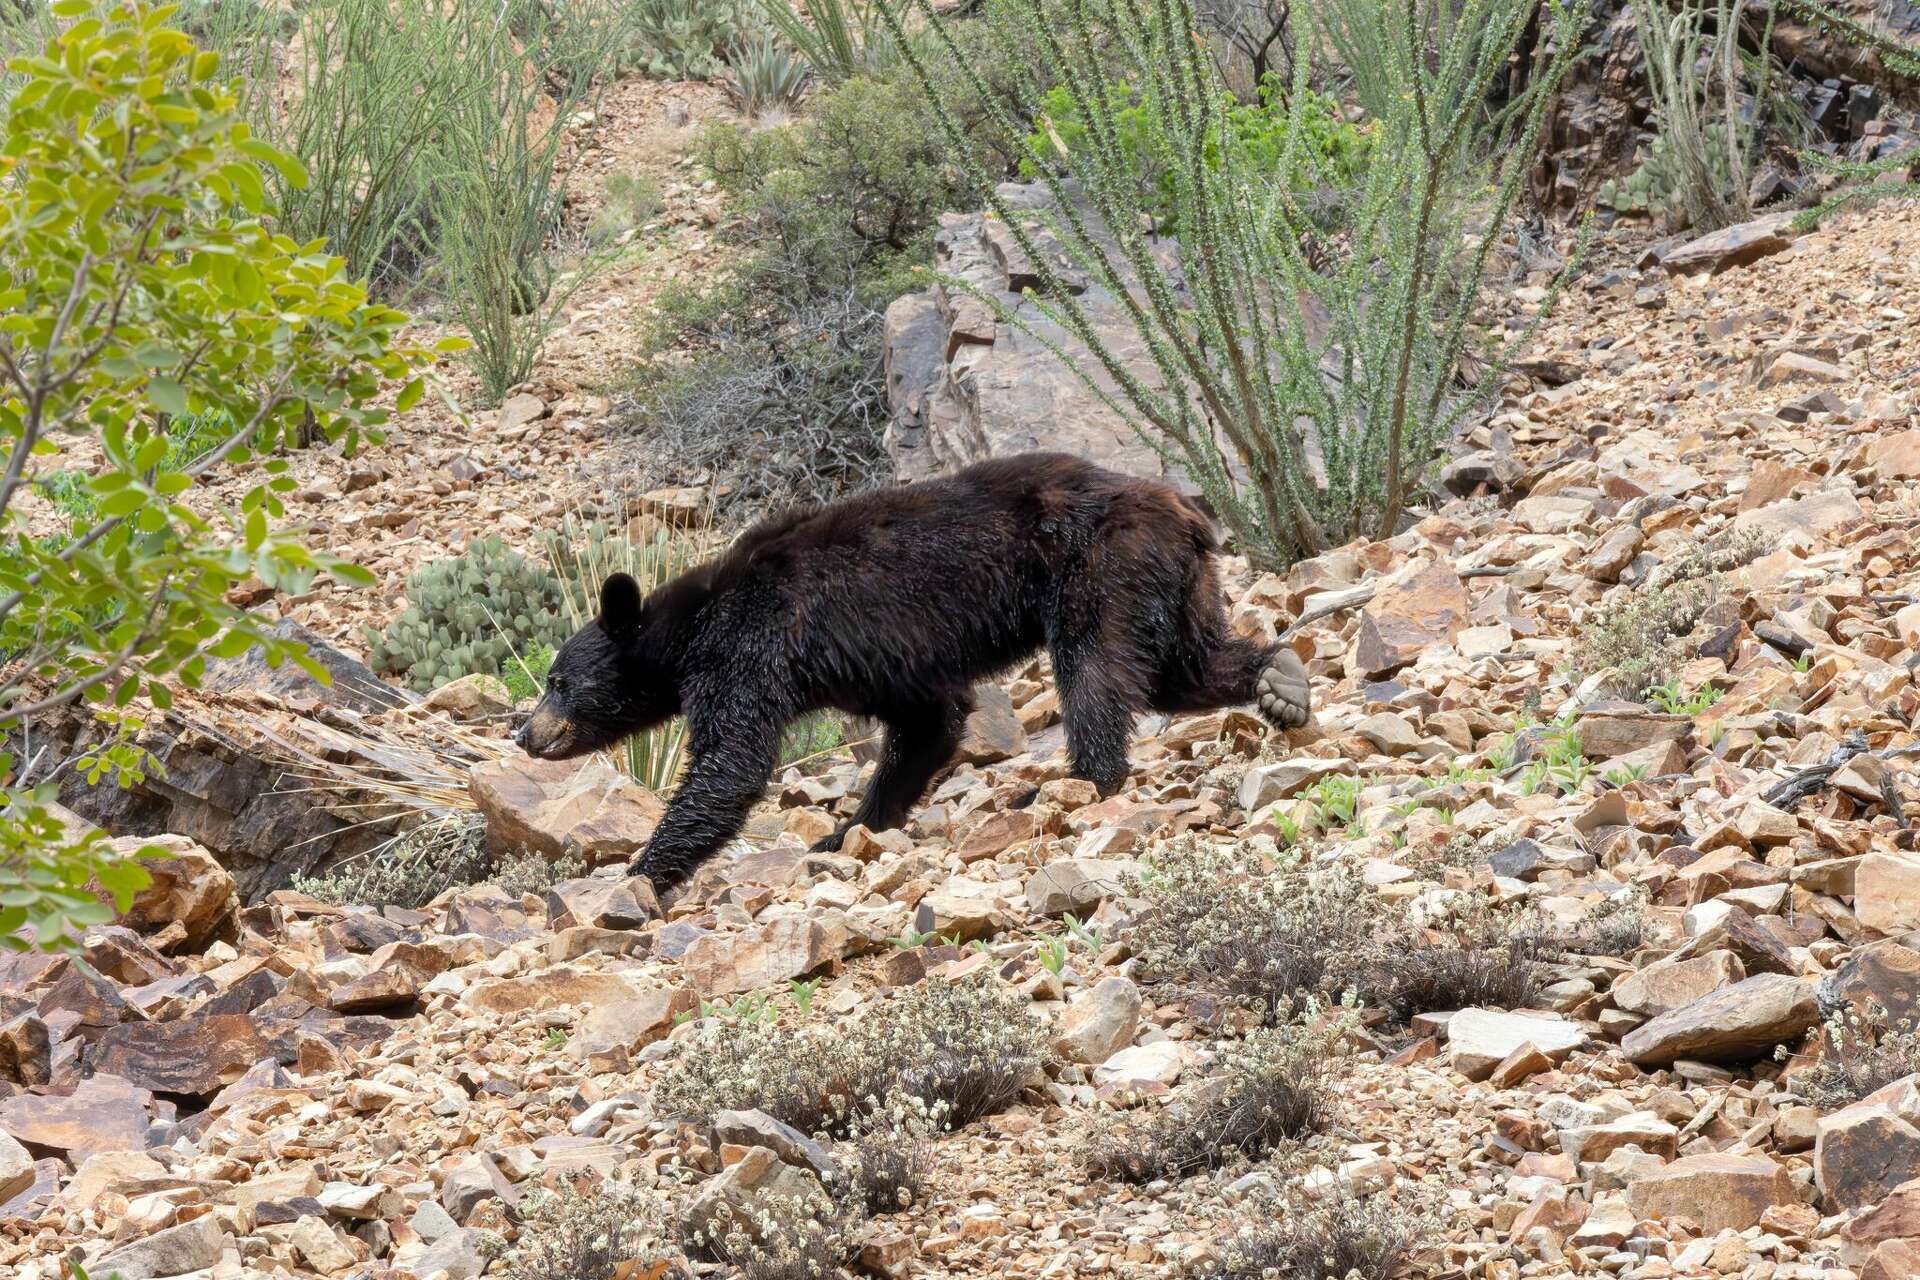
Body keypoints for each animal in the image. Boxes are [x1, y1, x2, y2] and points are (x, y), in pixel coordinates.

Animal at [515, 453, 1311, 893]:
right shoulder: (875, 660)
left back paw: (1081, 777)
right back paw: (1281, 681)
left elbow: (731, 759)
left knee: (1095, 669)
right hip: (1171, 580)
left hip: (1098, 565)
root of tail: (1186, 510)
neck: (688, 627)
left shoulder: (753, 645)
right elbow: (928, 722)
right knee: (1184, 663)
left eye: (558, 681)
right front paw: (850, 828)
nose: (525, 732)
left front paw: (641, 872)